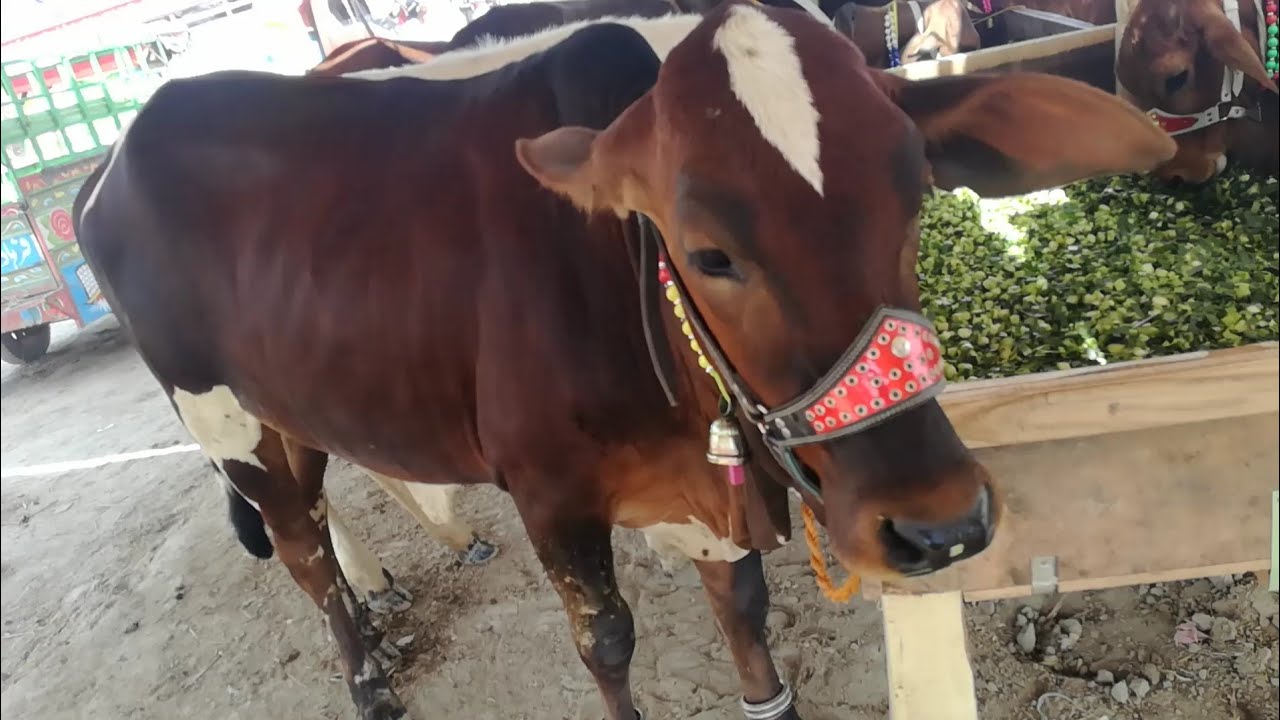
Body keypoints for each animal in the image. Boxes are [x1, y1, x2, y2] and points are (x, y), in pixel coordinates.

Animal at [73, 3, 1174, 719]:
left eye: (917, 198)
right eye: (708, 252)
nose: (939, 523)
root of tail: (122, 146)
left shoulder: (705, 490)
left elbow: (743, 609)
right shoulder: (549, 493)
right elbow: (605, 641)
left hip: (295, 394)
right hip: (221, 414)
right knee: (298, 544)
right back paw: (369, 679)